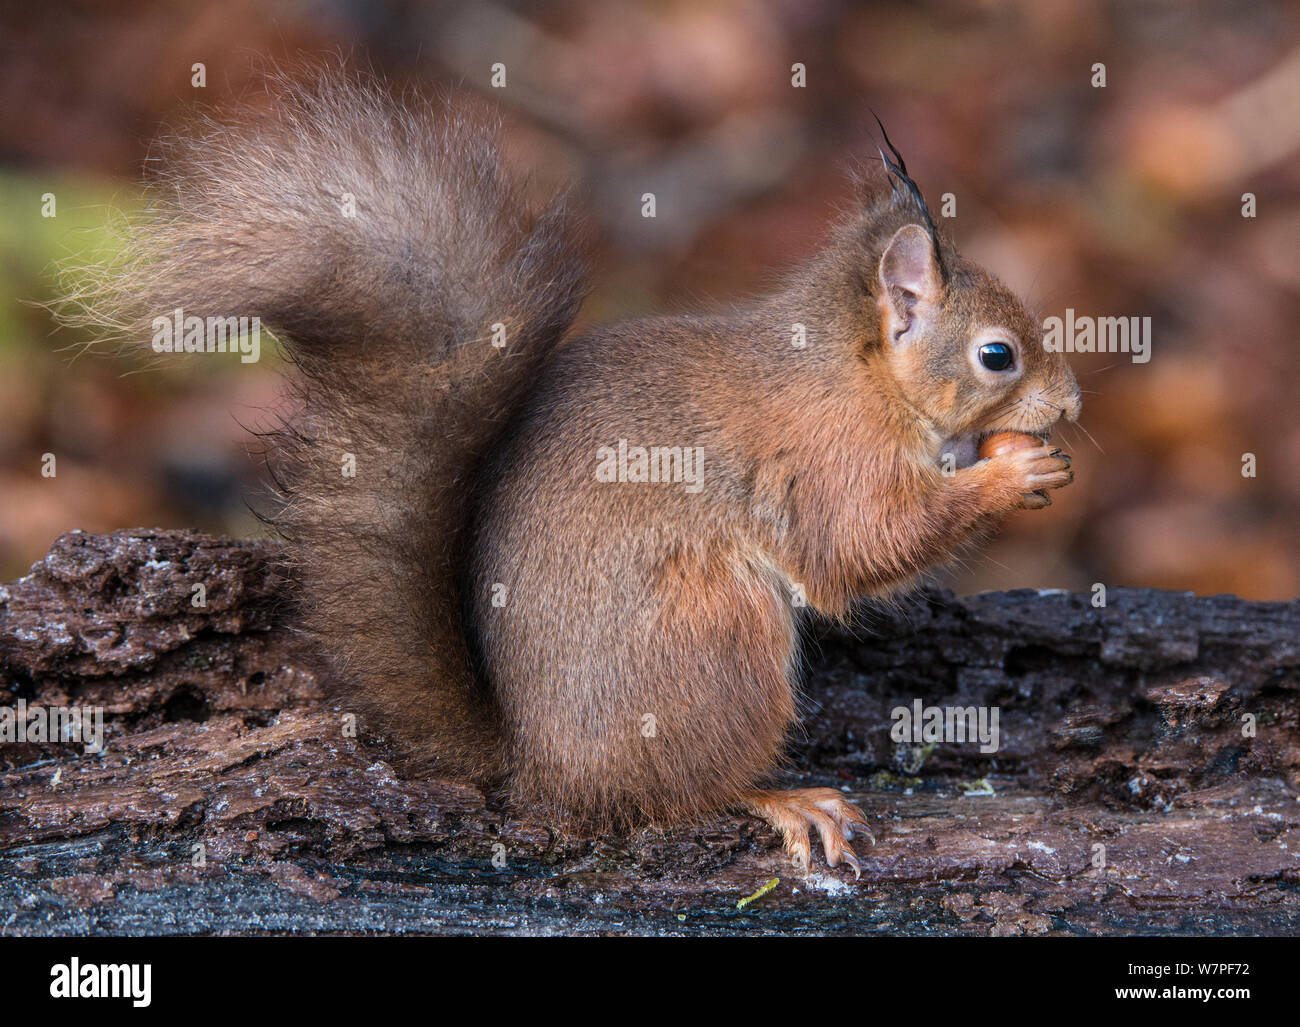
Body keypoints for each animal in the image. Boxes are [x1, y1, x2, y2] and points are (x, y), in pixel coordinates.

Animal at [70, 66, 1080, 876]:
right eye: (997, 355)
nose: (1070, 401)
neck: (856, 372)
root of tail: (540, 771)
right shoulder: (832, 460)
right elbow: (863, 545)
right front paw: (1011, 472)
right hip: (715, 636)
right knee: (677, 795)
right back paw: (781, 797)